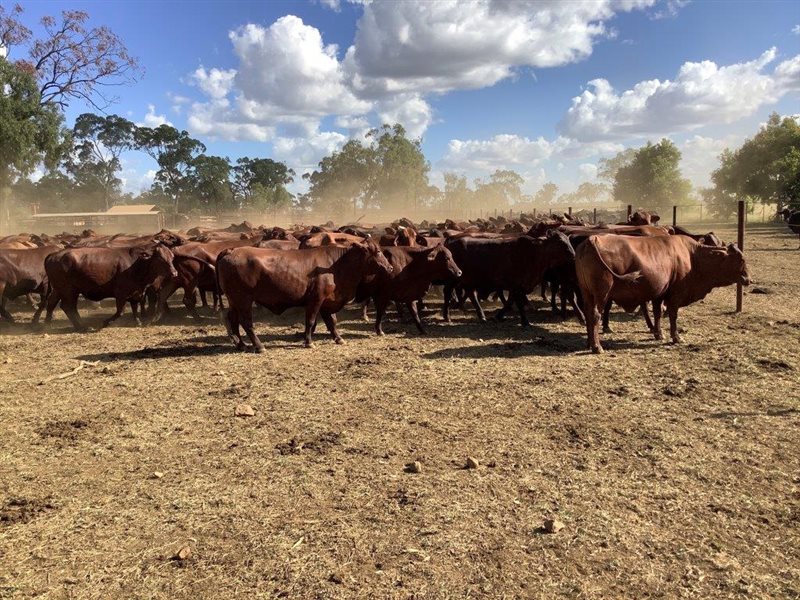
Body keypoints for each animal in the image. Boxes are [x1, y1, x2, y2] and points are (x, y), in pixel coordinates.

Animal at [44, 244, 178, 331]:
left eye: (172, 257)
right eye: (160, 258)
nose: (174, 273)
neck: (137, 264)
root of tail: (53, 255)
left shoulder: (135, 292)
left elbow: (134, 308)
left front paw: (138, 322)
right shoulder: (121, 294)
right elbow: (120, 312)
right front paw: (105, 322)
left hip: (61, 290)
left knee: (53, 303)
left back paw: (47, 324)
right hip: (68, 291)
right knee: (68, 307)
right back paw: (82, 327)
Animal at [217, 240, 393, 351]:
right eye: (378, 252)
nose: (390, 268)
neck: (336, 265)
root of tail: (231, 250)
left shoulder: (327, 302)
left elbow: (332, 322)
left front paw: (338, 338)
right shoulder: (316, 300)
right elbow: (310, 321)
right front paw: (308, 342)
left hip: (234, 301)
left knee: (233, 320)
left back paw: (241, 345)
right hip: (243, 300)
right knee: (246, 322)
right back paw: (259, 346)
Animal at [442, 229, 576, 326]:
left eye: (567, 239)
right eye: (559, 240)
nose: (573, 254)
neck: (534, 253)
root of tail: (450, 241)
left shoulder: (516, 287)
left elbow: (509, 302)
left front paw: (498, 316)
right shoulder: (517, 286)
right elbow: (518, 303)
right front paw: (525, 322)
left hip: (468, 280)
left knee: (471, 294)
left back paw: (481, 316)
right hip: (454, 278)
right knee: (448, 293)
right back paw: (447, 316)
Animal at [576, 235, 750, 353]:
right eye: (741, 260)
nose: (749, 279)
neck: (691, 256)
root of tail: (593, 239)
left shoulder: (659, 294)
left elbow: (658, 313)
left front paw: (658, 333)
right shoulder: (675, 294)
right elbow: (672, 315)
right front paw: (676, 337)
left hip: (587, 294)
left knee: (589, 314)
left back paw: (589, 342)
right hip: (601, 294)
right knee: (596, 315)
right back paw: (597, 346)